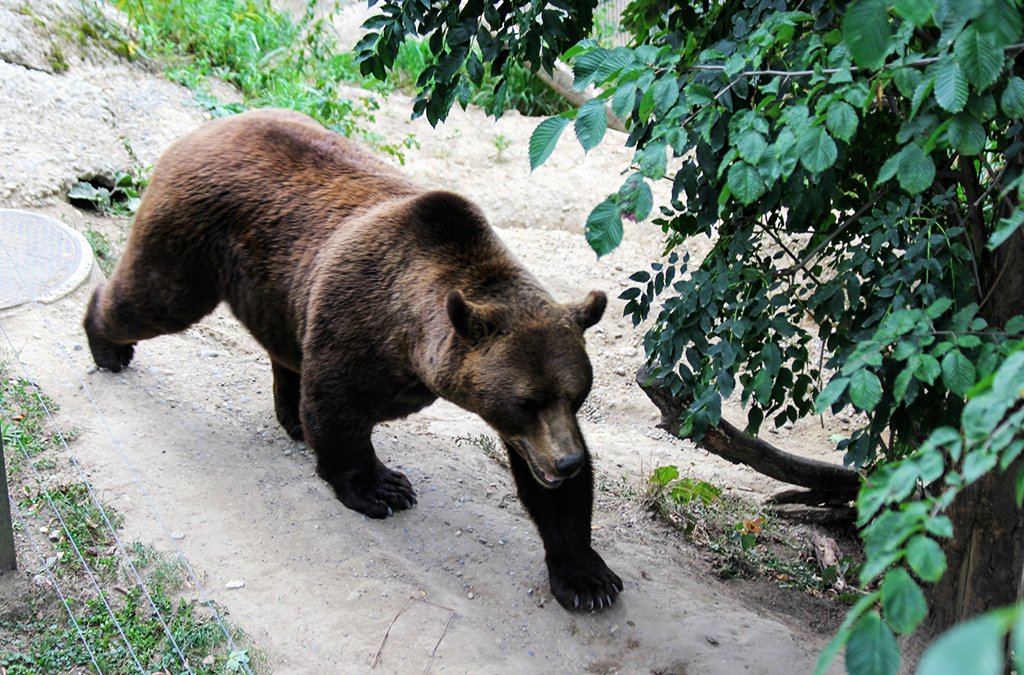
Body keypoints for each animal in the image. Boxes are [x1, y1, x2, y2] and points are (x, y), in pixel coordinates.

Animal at [81, 109, 622, 614]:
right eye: (527, 401)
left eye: (577, 395)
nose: (567, 461)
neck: (412, 340)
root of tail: (204, 129)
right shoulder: (358, 320)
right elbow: (337, 406)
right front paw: (383, 488)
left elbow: (555, 498)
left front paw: (587, 578)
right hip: (192, 233)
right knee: (154, 298)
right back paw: (106, 343)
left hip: (273, 285)